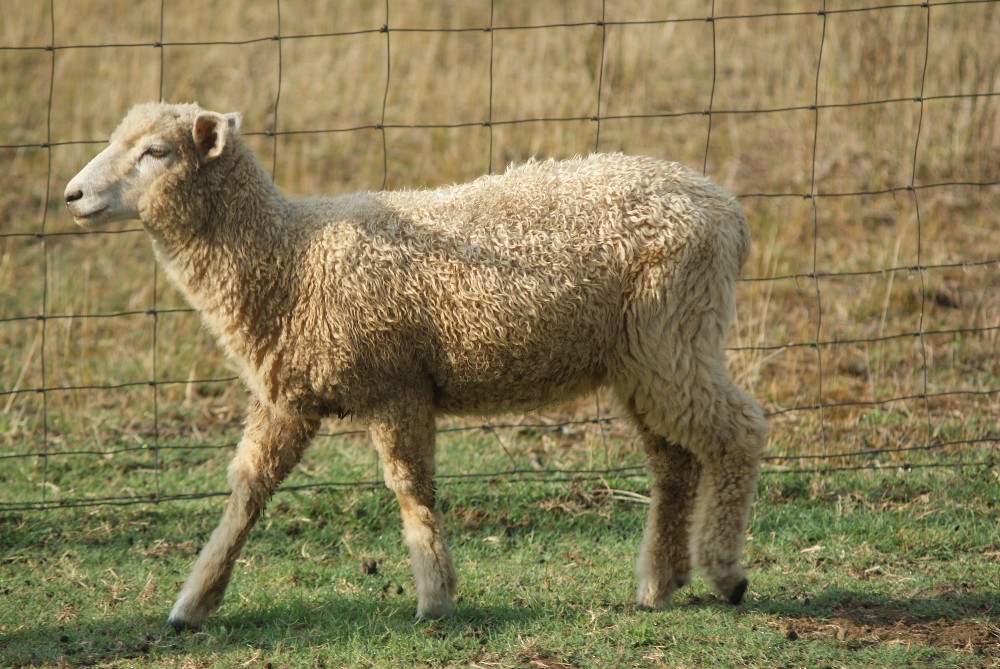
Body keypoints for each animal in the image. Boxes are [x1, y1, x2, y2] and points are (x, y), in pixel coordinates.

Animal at [64, 101, 768, 629]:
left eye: (156, 152)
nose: (72, 194)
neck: (289, 258)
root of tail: (727, 209)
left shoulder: (395, 383)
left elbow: (411, 488)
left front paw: (434, 597)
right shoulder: (287, 397)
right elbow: (247, 493)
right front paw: (193, 603)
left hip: (675, 334)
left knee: (738, 433)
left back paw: (723, 571)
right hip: (640, 360)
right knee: (675, 462)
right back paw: (660, 584)